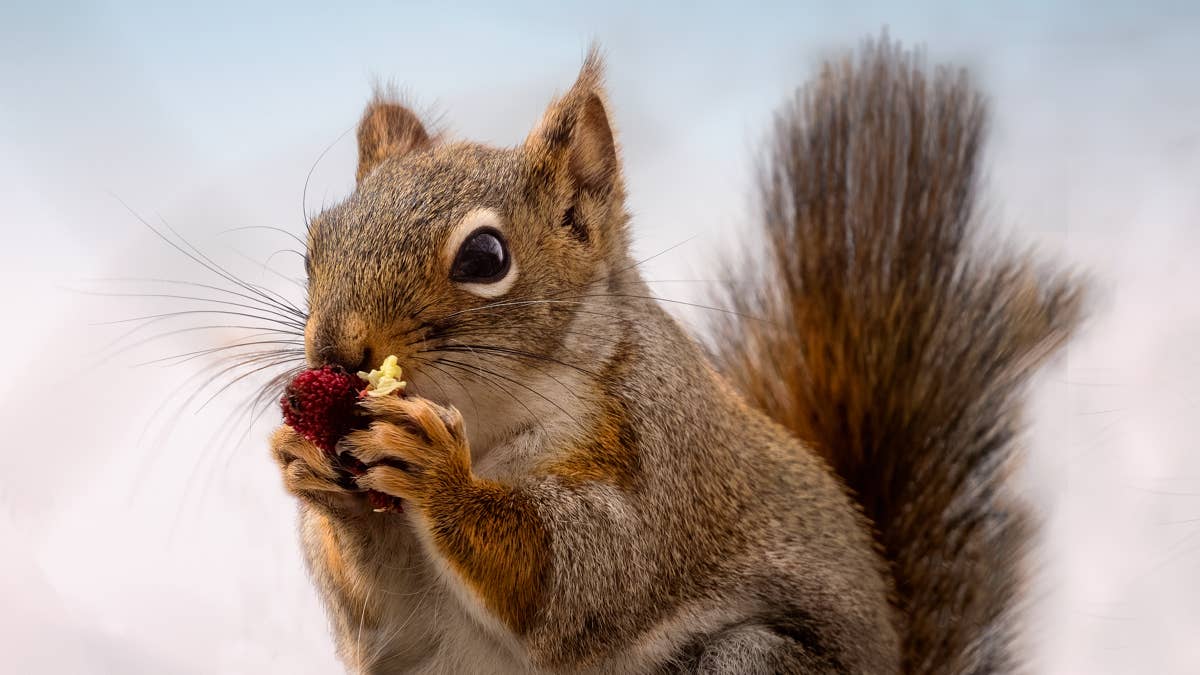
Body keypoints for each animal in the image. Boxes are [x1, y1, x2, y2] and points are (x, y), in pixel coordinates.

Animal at [268, 36, 1084, 674]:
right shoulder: (410, 628)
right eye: (318, 242)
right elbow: (390, 621)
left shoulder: (660, 462)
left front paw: (442, 477)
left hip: (750, 658)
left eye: (485, 256)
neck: (489, 420)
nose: (335, 350)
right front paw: (311, 469)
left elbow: (584, 574)